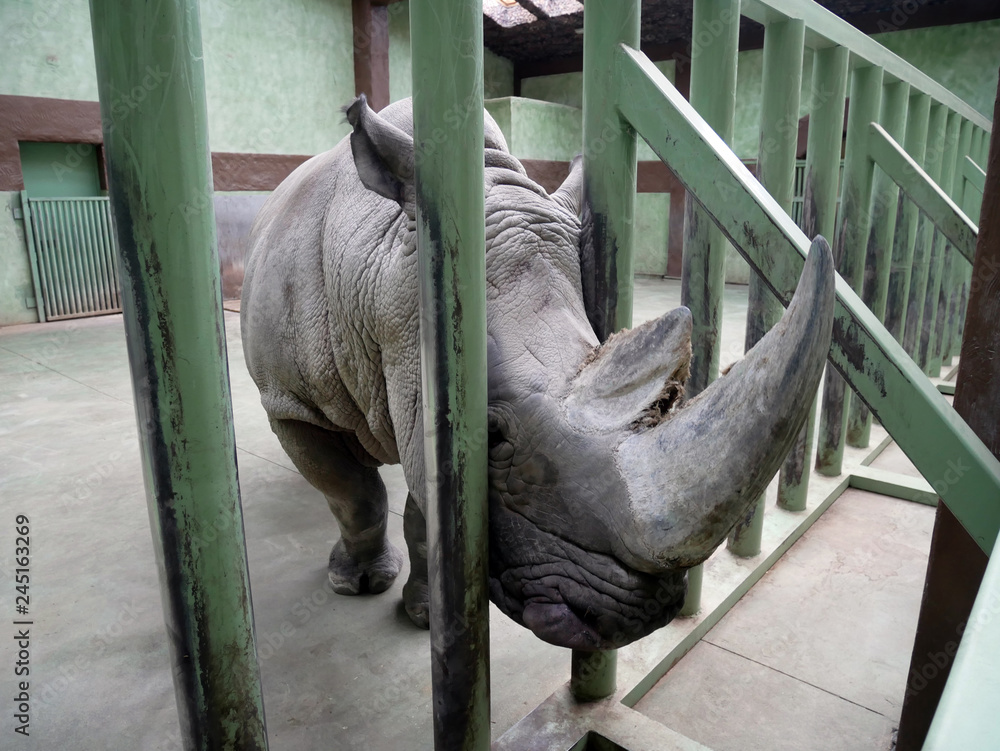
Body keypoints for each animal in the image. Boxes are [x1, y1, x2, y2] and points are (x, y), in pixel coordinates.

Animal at [240, 95, 835, 651]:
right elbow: (355, 494)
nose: (640, 617)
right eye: (490, 434)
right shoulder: (291, 403)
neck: (376, 273)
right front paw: (358, 585)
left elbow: (424, 517)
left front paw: (428, 616)